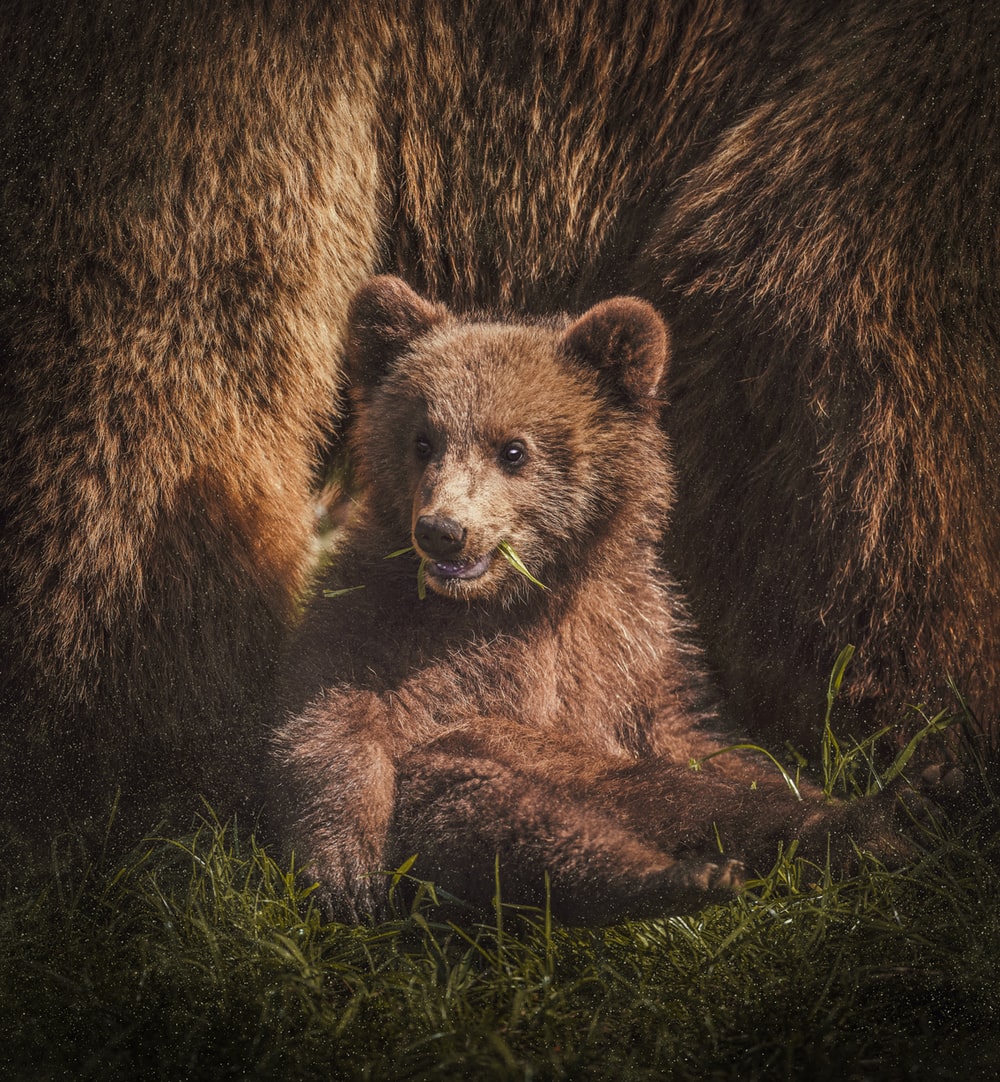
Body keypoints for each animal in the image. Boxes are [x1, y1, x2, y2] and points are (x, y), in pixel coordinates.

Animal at [270, 276, 915, 924]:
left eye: (513, 449)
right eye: (422, 440)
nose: (442, 530)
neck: (516, 599)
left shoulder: (631, 641)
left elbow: (706, 740)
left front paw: (826, 795)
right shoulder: (377, 618)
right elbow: (328, 715)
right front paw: (345, 868)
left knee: (698, 797)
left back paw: (879, 814)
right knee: (496, 803)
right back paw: (677, 875)